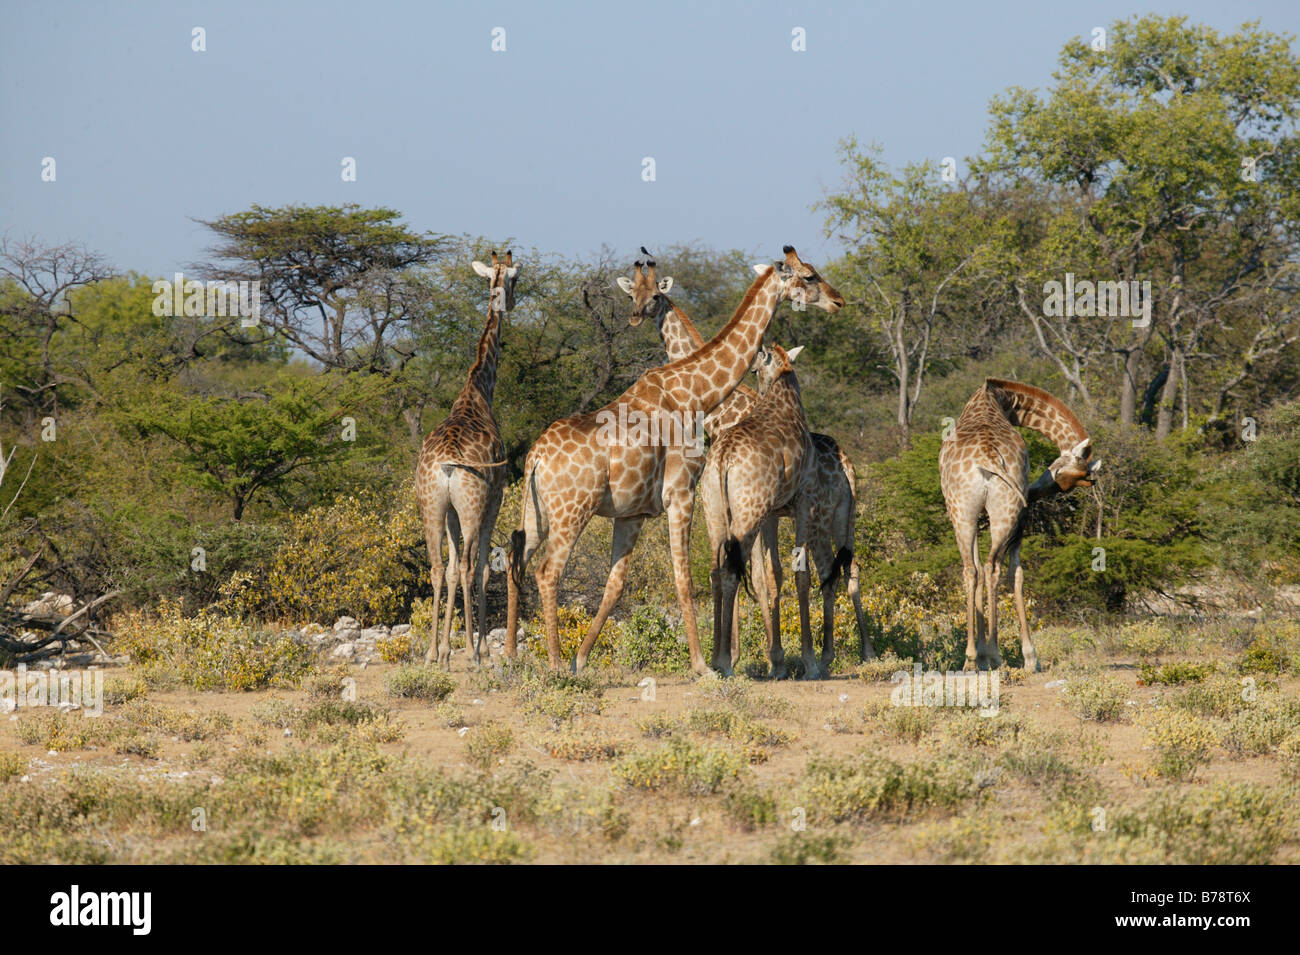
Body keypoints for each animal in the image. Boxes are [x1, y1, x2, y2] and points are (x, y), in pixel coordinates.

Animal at [505, 246, 844, 676]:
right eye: (810, 276)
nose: (838, 301)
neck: (694, 394)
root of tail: (535, 456)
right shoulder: (681, 492)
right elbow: (686, 577)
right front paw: (703, 665)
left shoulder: (631, 513)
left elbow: (616, 584)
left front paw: (583, 658)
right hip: (572, 510)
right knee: (548, 572)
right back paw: (553, 662)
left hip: (536, 514)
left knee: (515, 558)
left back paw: (511, 657)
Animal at [620, 255, 874, 675]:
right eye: (632, 294)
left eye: (656, 294)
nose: (637, 315)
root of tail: (850, 463)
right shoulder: (741, 509)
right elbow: (750, 572)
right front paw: (750, 655)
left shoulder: (762, 509)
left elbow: (761, 574)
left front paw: (765, 656)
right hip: (815, 520)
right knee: (828, 570)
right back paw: (826, 654)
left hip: (839, 516)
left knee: (848, 570)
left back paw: (865, 653)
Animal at [939, 377, 1101, 671]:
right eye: (1061, 473)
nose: (1032, 494)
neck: (1001, 399)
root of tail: (989, 457)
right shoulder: (1016, 521)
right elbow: (1017, 573)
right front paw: (1029, 657)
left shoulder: (983, 518)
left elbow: (989, 569)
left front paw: (990, 652)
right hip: (1001, 511)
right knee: (990, 567)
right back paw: (989, 655)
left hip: (965, 512)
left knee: (975, 569)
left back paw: (975, 657)